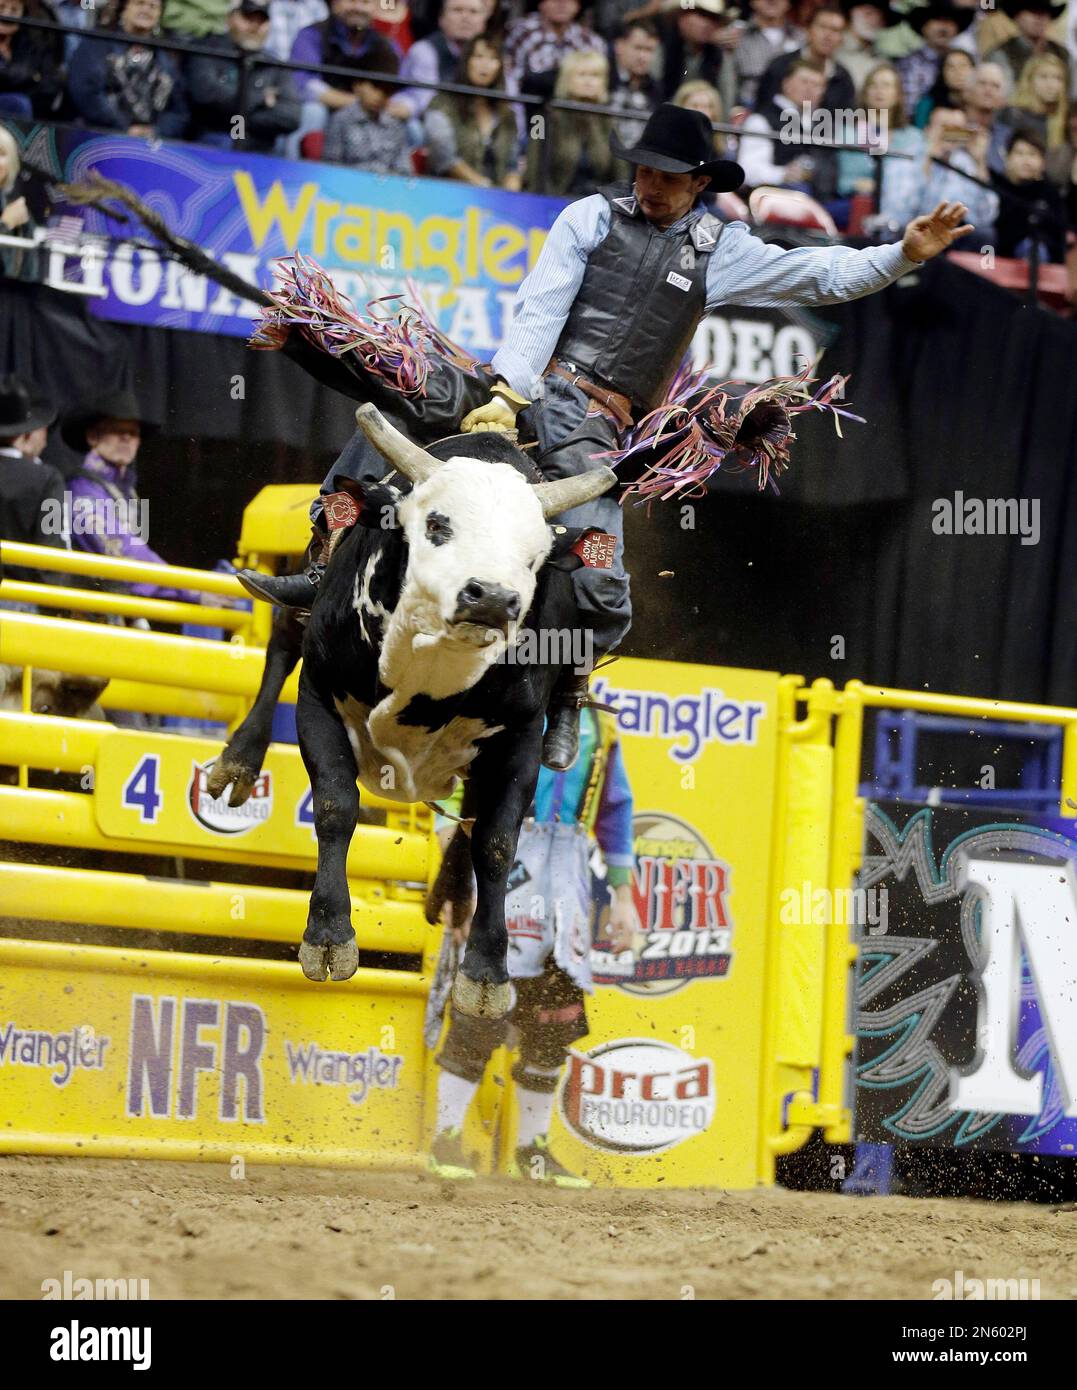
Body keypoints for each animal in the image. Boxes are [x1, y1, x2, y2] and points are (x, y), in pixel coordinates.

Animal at [209, 405, 617, 1018]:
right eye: (438, 524)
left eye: (535, 555)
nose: (492, 597)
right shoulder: (318, 697)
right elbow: (336, 806)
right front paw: (328, 938)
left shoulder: (520, 735)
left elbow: (497, 842)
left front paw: (485, 974)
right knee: (281, 640)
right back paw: (238, 760)